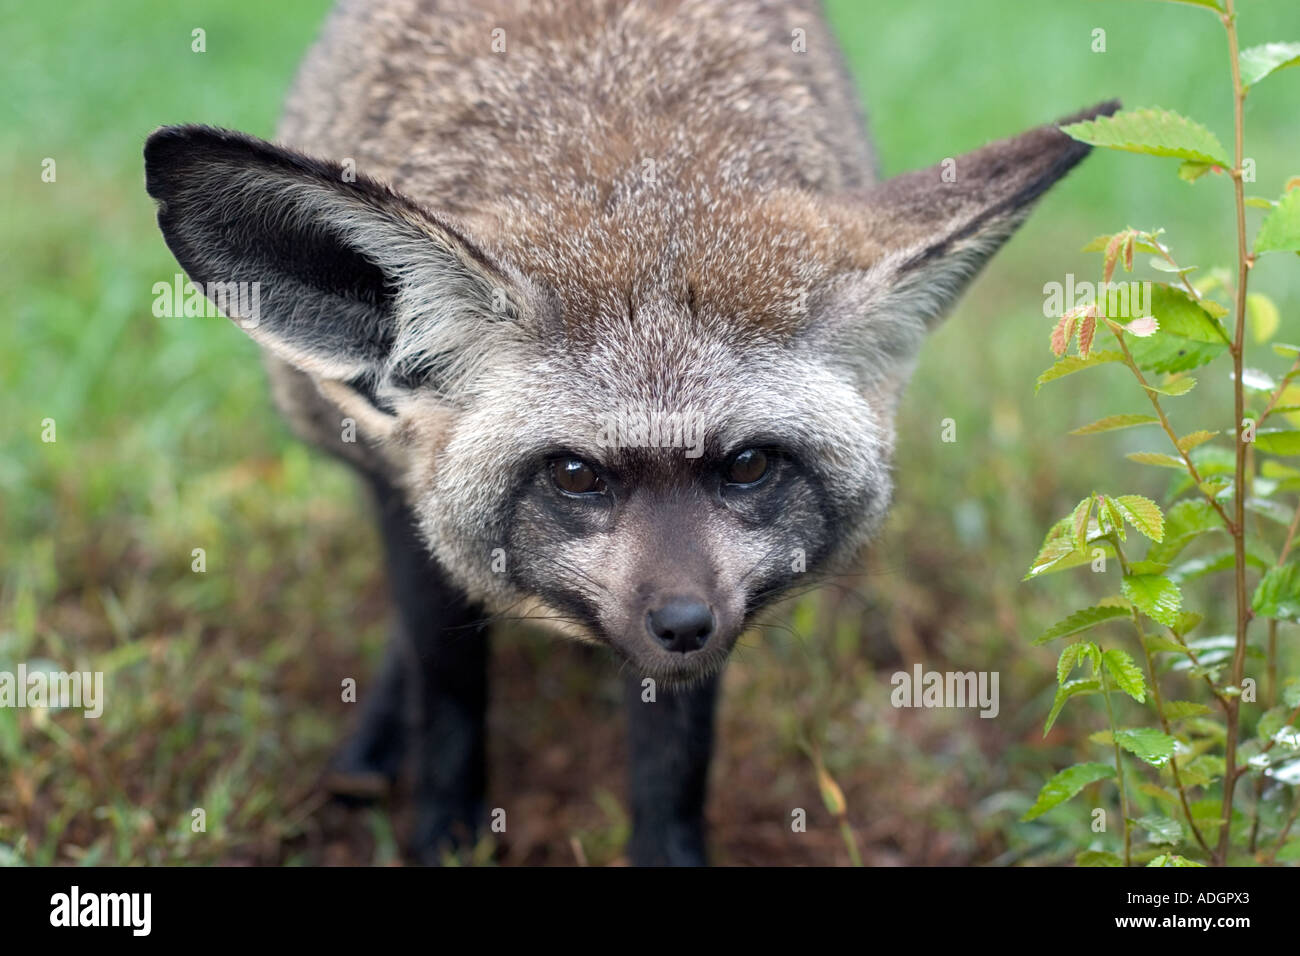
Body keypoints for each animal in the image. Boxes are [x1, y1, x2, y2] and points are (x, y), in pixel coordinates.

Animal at [143, 0, 1116, 866]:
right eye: (576, 474)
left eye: (749, 465)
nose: (683, 621)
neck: (624, 140)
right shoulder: (399, 489)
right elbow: (448, 680)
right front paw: (444, 837)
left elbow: (671, 760)